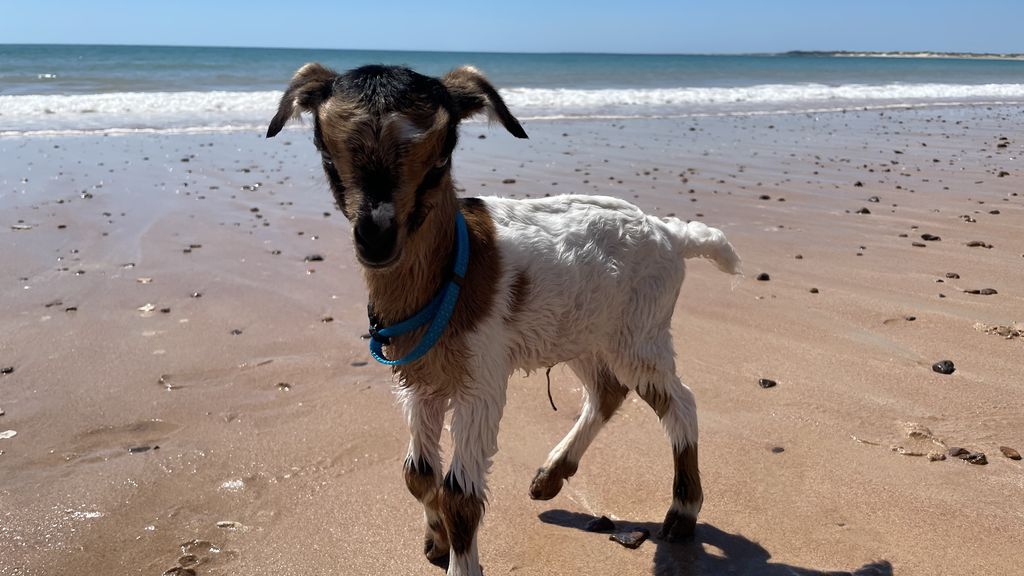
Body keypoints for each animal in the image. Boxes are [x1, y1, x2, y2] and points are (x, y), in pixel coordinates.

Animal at [267, 63, 741, 576]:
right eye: (326, 153)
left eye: (441, 157)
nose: (376, 238)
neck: (455, 267)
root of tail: (672, 233)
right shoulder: (419, 378)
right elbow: (418, 475)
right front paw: (436, 541)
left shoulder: (481, 377)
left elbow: (460, 496)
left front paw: (459, 561)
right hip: (580, 332)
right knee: (607, 391)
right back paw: (550, 477)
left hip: (640, 330)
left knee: (678, 402)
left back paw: (682, 513)